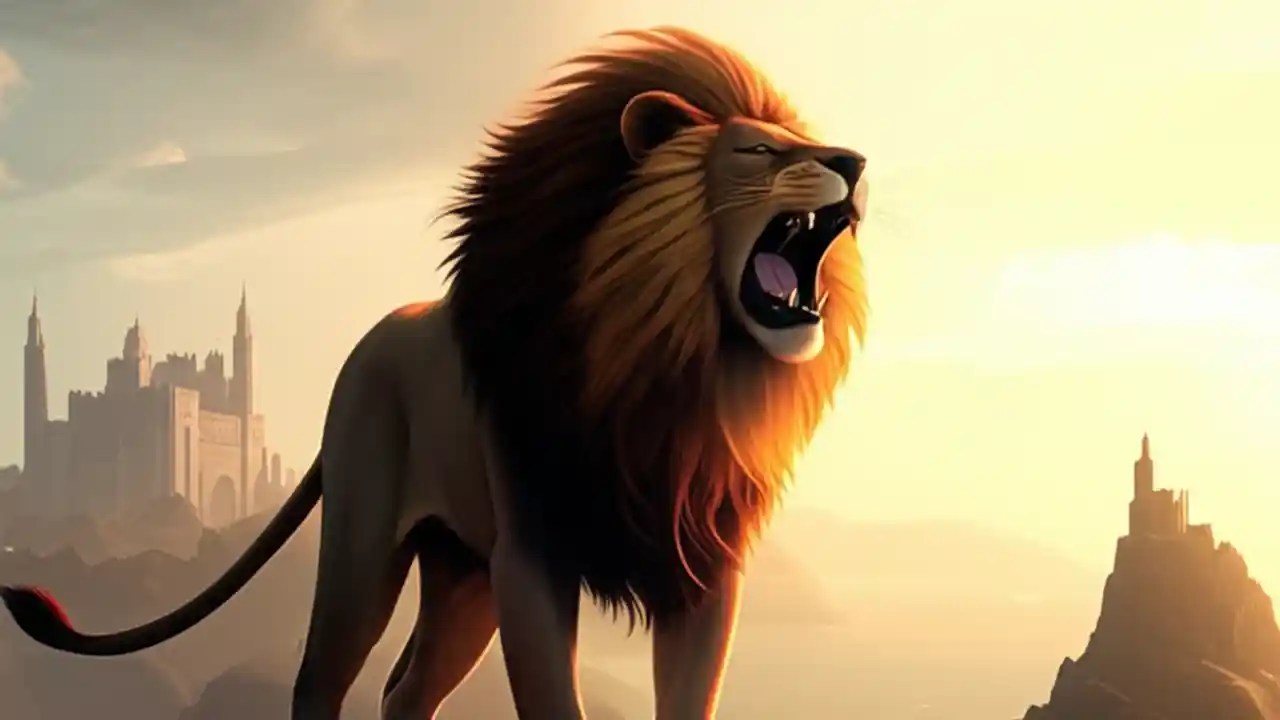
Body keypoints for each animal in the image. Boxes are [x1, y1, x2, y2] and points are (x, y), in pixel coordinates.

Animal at [1, 26, 868, 720]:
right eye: (757, 150)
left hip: (462, 574)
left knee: (406, 690)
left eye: (802, 137)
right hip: (364, 549)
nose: (853, 160)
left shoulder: (704, 571)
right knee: (320, 679)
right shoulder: (532, 560)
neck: (671, 367)